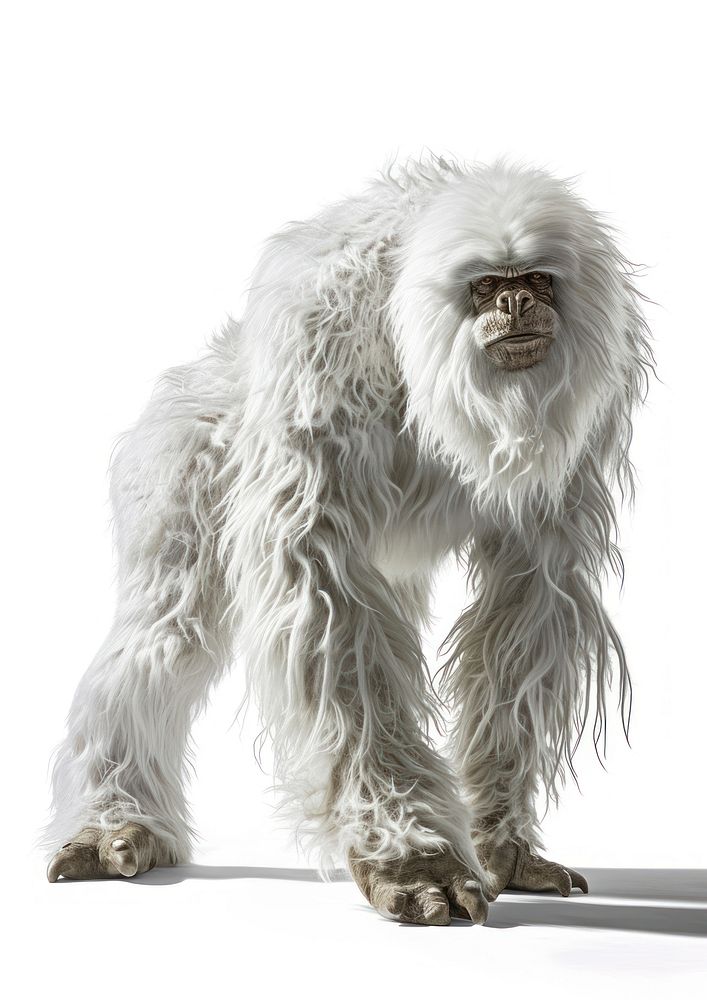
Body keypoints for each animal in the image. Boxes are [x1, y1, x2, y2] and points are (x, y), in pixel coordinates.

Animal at [44, 156, 652, 925]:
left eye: (537, 279)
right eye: (486, 285)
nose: (516, 304)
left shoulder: (589, 417)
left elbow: (525, 609)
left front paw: (501, 844)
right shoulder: (325, 334)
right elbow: (319, 590)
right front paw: (411, 854)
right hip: (177, 456)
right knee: (165, 631)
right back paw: (112, 820)